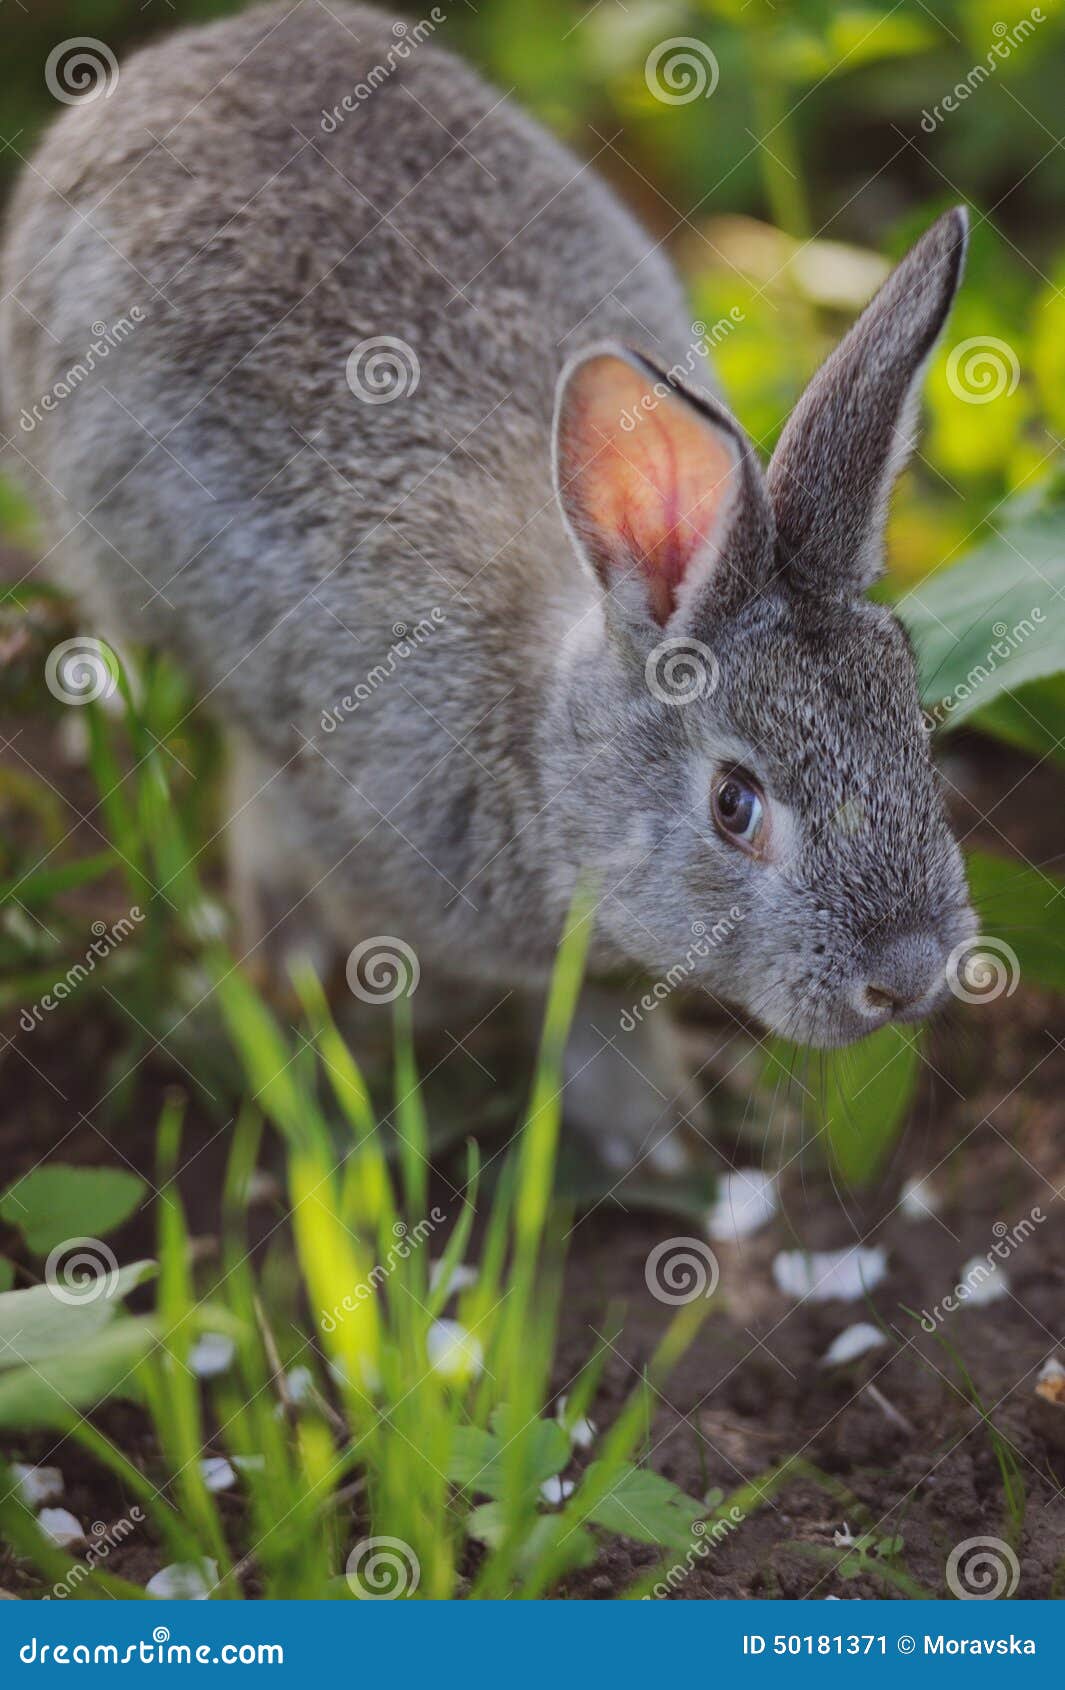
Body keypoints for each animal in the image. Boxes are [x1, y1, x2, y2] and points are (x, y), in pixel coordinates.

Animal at [1, 2, 976, 1167]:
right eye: (735, 805)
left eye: (914, 726)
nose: (907, 980)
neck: (541, 756)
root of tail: (175, 63)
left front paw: (669, 1137)